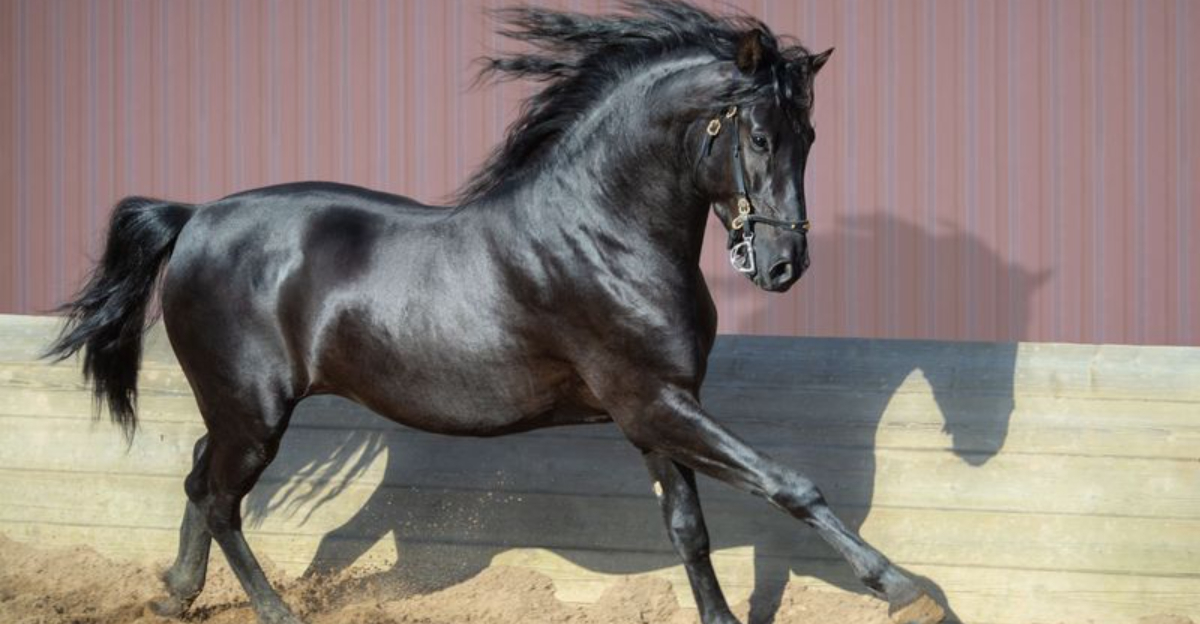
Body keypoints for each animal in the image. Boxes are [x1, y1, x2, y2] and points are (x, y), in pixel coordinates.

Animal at [45, 3, 945, 623]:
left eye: (810, 137)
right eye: (759, 136)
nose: (785, 267)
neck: (603, 231)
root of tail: (193, 216)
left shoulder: (657, 412)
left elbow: (689, 529)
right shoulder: (652, 402)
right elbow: (789, 484)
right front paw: (909, 589)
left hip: (237, 413)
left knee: (201, 480)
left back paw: (174, 594)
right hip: (253, 412)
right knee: (220, 498)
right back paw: (272, 611)